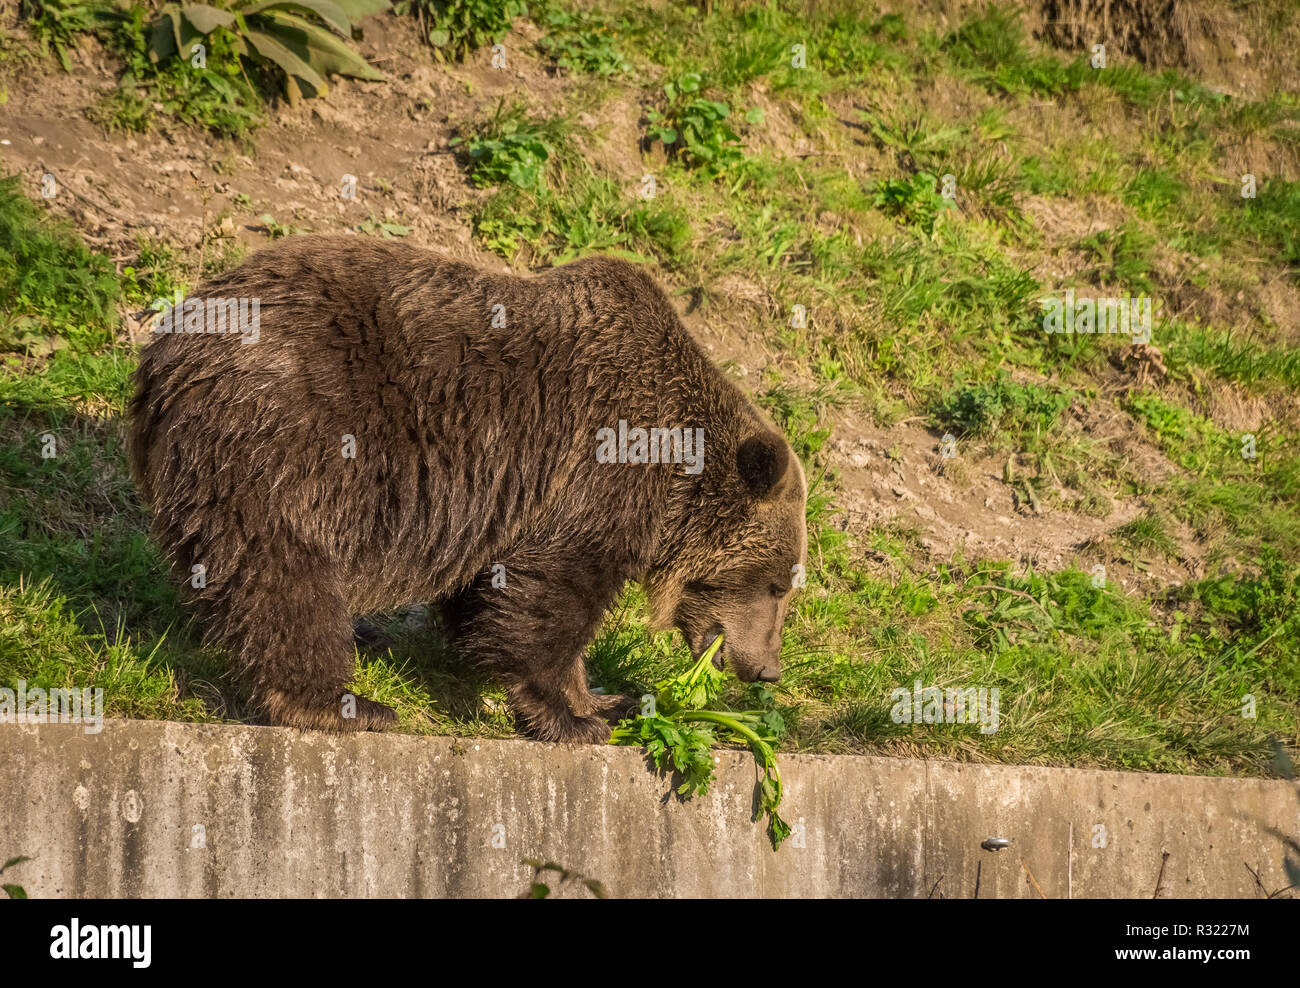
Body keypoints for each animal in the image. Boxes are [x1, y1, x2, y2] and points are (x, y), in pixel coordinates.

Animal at [129, 235, 807, 743]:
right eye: (779, 584)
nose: (766, 669)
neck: (671, 475)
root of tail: (169, 343)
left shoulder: (502, 501)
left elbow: (491, 587)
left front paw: (602, 699)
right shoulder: (595, 470)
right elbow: (555, 593)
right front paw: (571, 714)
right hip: (289, 434)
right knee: (280, 570)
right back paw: (339, 703)